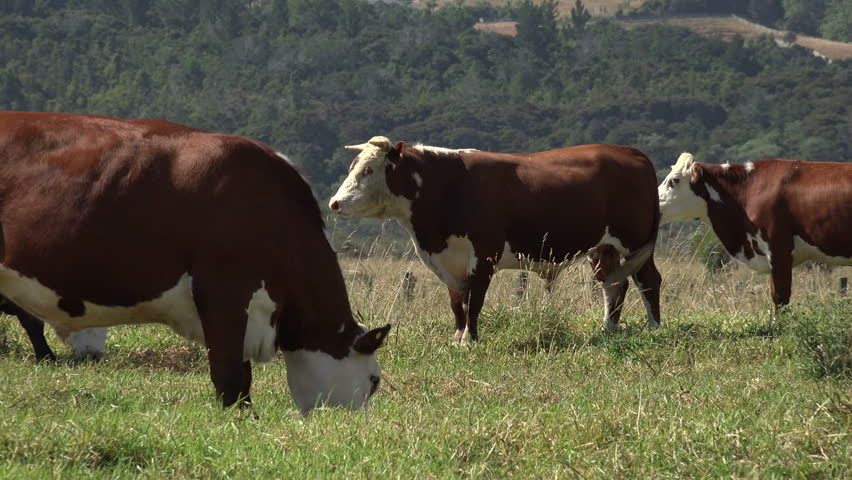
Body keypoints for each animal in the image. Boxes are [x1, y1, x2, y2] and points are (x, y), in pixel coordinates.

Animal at [0, 111, 390, 412]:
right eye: (374, 381)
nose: (354, 426)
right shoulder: (224, 293)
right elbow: (229, 373)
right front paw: (239, 421)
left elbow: (242, 375)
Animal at [328, 137, 661, 344]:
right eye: (352, 166)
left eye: (368, 169)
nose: (334, 202)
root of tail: (630, 151)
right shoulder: (449, 262)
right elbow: (457, 302)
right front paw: (456, 337)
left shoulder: (483, 256)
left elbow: (474, 301)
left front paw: (469, 340)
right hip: (602, 247)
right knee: (613, 284)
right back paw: (608, 329)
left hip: (636, 242)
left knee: (647, 280)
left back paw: (654, 328)